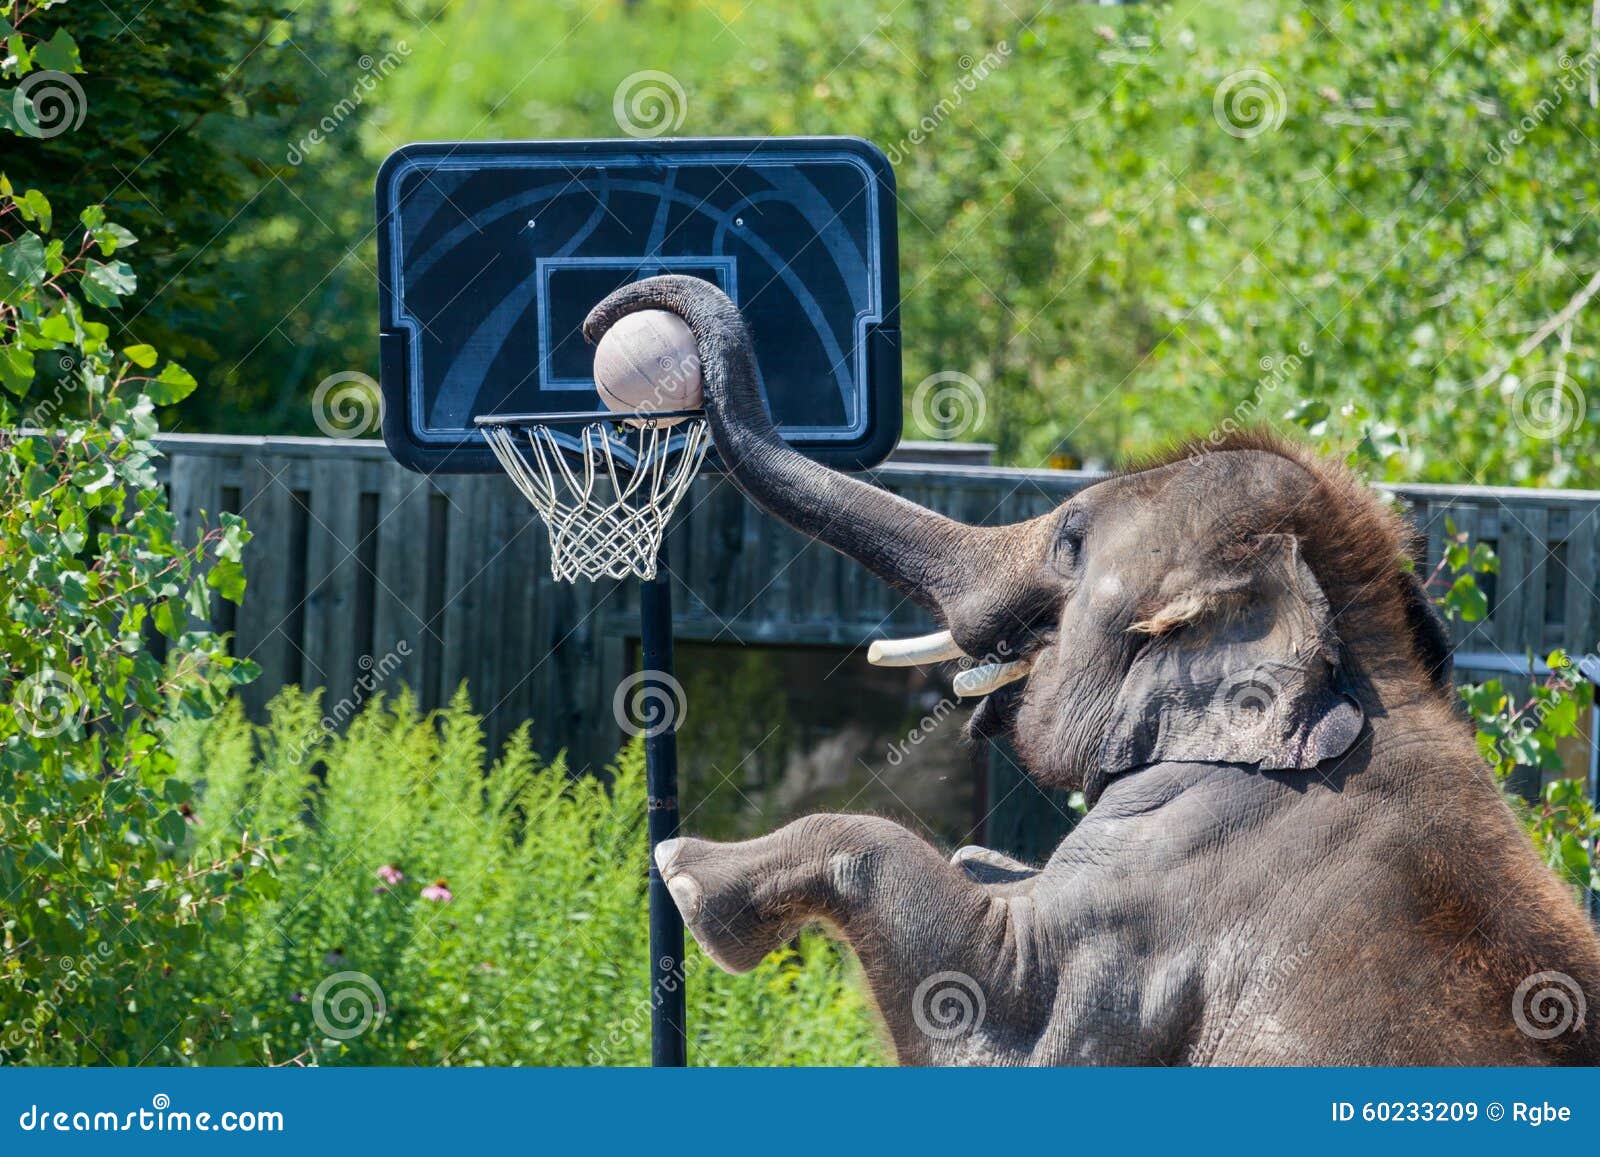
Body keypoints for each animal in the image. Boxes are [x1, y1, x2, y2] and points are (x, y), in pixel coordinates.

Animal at [584, 276, 1600, 1066]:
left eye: (1071, 541)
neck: (1359, 661)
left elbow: (994, 1005)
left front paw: (682, 873)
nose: (610, 318)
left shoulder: (1158, 916)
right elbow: (981, 862)